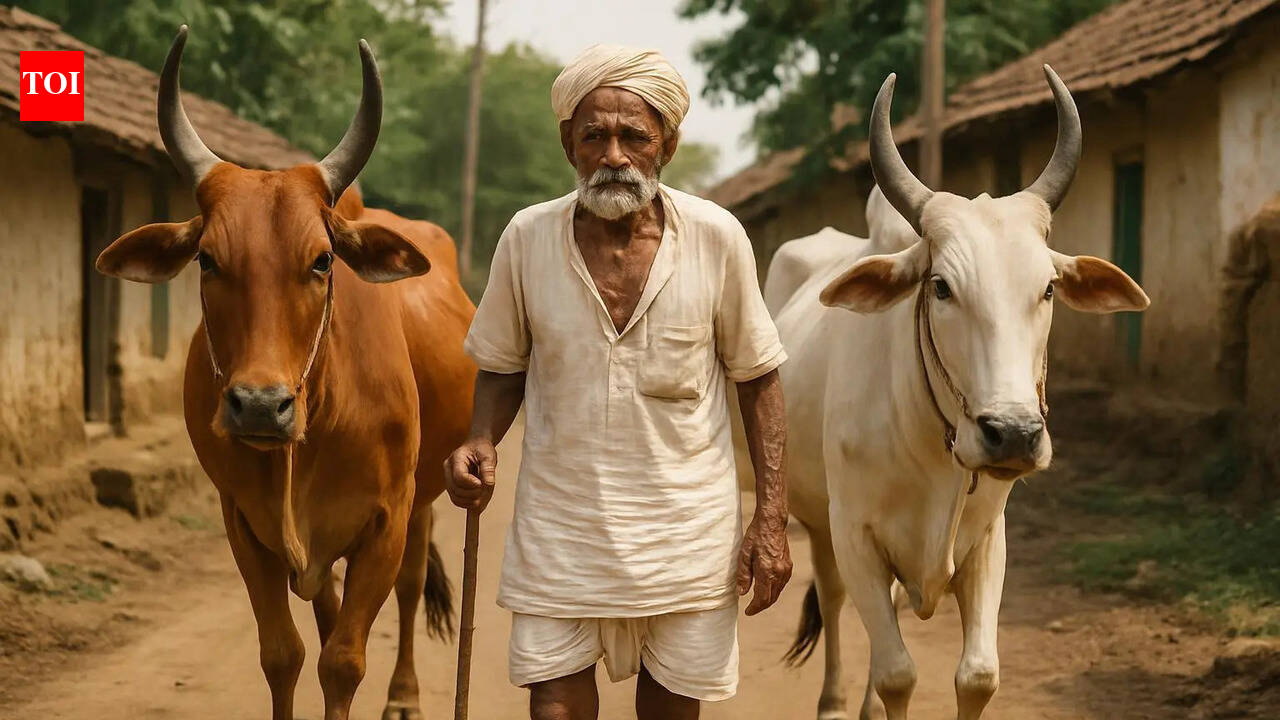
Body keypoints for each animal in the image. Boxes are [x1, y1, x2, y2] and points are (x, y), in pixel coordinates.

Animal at [94, 27, 475, 720]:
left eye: (323, 260)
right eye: (208, 260)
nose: (259, 405)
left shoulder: (387, 520)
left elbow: (345, 661)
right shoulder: (246, 523)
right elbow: (285, 655)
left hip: (423, 499)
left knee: (410, 588)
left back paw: (404, 696)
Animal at [760, 67, 1149, 720]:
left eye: (1048, 289)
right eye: (941, 286)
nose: (1013, 434)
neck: (932, 444)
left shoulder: (988, 542)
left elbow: (978, 677)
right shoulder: (854, 533)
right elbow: (897, 673)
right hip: (815, 518)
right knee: (834, 599)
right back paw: (835, 701)